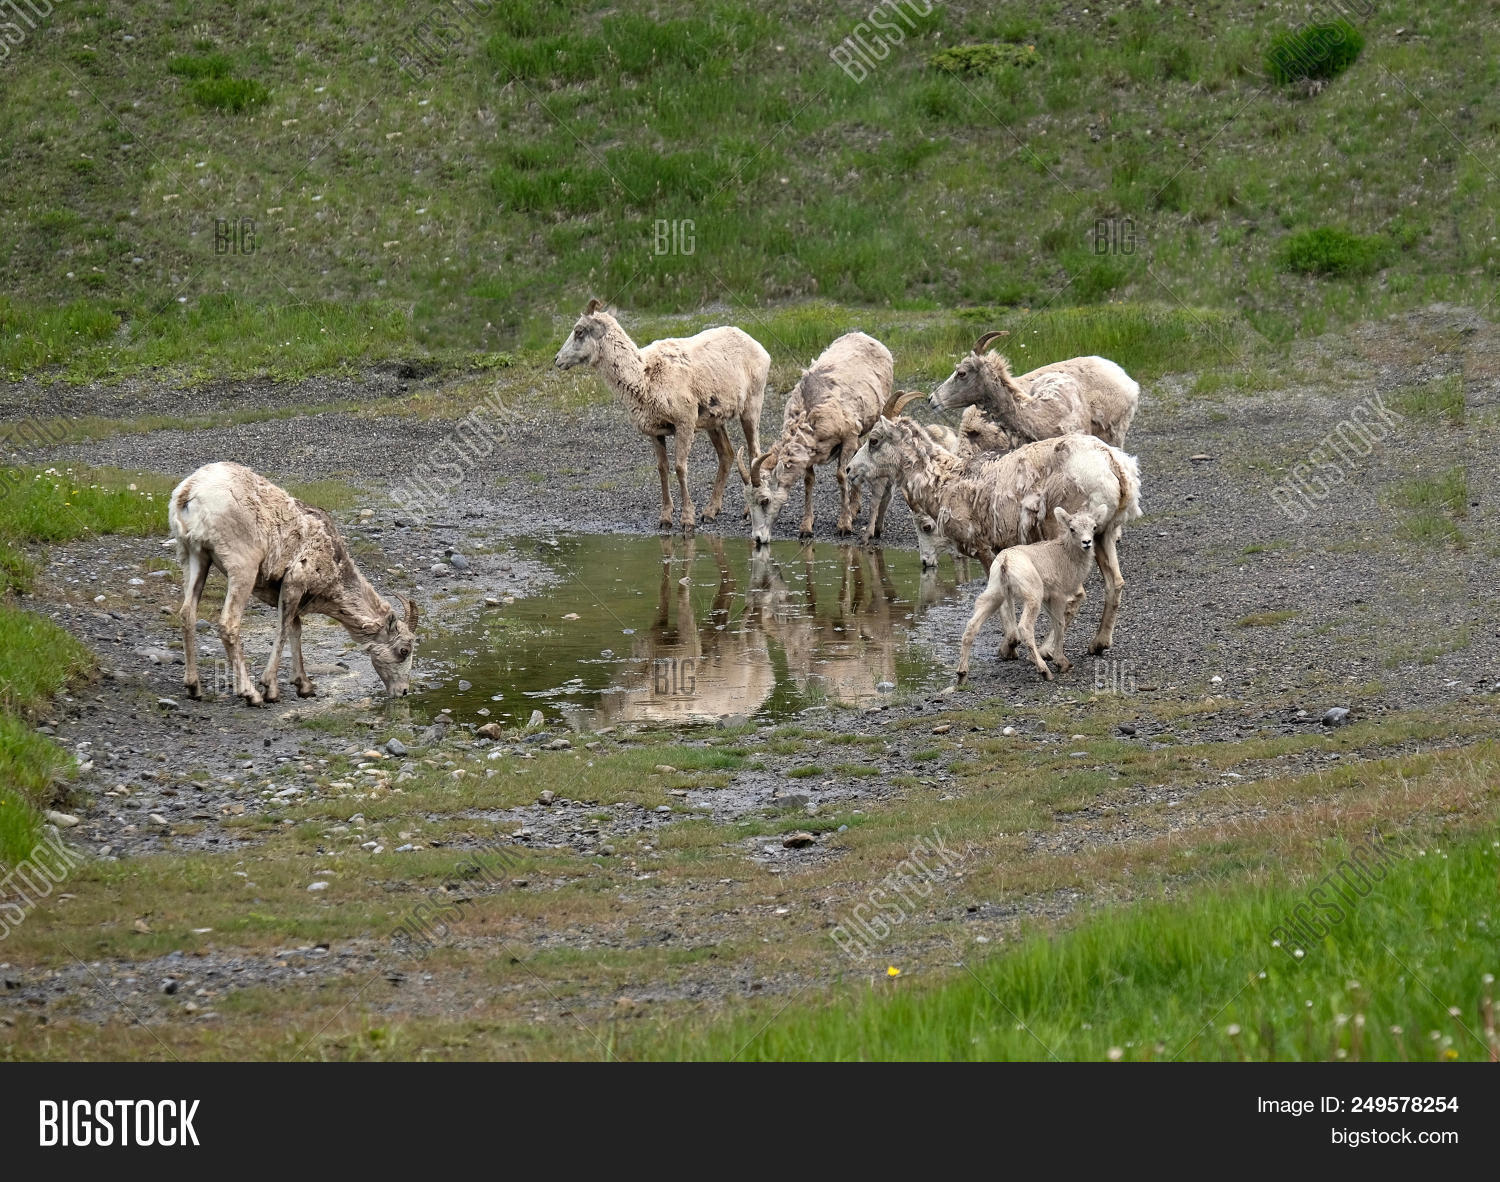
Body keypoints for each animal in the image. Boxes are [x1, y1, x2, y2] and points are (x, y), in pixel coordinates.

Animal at [167, 463, 418, 706]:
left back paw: (194, 688)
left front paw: (304, 686)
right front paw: (271, 690)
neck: (333, 561)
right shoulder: (293, 583)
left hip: (194, 556)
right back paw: (250, 694)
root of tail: (190, 491)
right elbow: (284, 629)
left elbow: (296, 629)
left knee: (187, 614)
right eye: (404, 650)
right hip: (242, 568)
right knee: (228, 624)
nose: (403, 691)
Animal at [554, 299, 768, 531]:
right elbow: (662, 469)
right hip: (714, 420)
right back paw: (710, 512)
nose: (557, 359)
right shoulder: (655, 431)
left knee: (754, 452)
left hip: (752, 405)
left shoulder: (685, 423)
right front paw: (665, 519)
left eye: (579, 331)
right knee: (727, 455)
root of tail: (759, 346)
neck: (644, 378)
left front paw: (687, 520)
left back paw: (746, 512)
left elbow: (680, 468)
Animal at [748, 332, 894, 546]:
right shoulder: (810, 454)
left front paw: (844, 526)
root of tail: (865, 336)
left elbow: (842, 475)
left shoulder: (847, 438)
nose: (758, 538)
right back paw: (855, 508)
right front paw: (806, 528)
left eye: (764, 500)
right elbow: (809, 481)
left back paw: (853, 511)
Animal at [847, 418, 1142, 654]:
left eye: (873, 441)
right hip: (1104, 534)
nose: (850, 470)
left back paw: (1047, 650)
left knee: (1075, 594)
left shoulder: (984, 549)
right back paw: (1098, 644)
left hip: (1066, 534)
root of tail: (1112, 462)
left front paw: (1008, 647)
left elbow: (1001, 600)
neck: (948, 481)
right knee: (1115, 584)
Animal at [956, 507, 1098, 682]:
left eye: (1094, 527)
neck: (1066, 556)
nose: (1087, 542)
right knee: (1025, 627)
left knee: (972, 625)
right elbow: (1060, 624)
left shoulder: (1047, 599)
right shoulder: (1057, 596)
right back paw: (1044, 670)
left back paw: (962, 673)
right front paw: (1062, 663)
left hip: (995, 593)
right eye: (1072, 529)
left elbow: (1055, 623)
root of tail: (1006, 562)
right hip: (1032, 595)